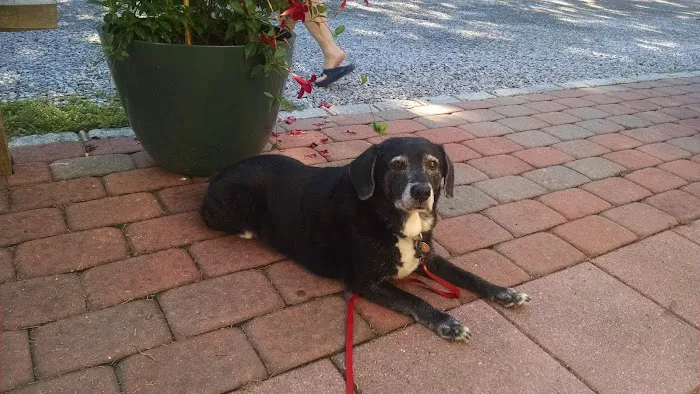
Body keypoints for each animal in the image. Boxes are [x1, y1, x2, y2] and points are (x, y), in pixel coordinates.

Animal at [202, 135, 532, 338]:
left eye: (433, 165)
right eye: (397, 164)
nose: (422, 191)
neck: (389, 220)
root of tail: (220, 173)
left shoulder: (428, 256)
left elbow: (469, 276)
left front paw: (505, 292)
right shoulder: (365, 282)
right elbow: (414, 299)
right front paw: (446, 322)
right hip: (234, 202)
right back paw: (246, 230)